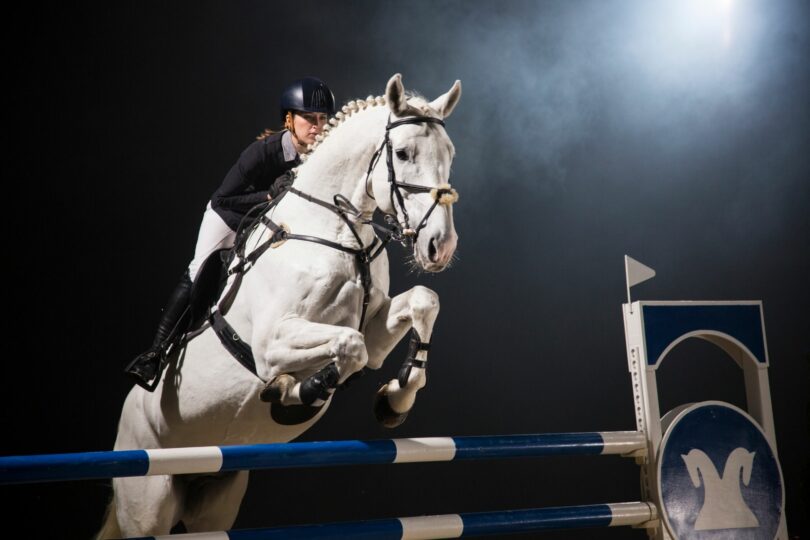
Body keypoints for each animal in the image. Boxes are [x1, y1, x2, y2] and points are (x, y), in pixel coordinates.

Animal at [98, 73, 462, 537]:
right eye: (402, 154)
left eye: (449, 155)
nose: (440, 246)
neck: (336, 230)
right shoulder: (271, 344)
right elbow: (349, 345)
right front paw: (298, 391)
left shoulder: (376, 329)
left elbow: (421, 303)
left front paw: (395, 399)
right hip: (148, 496)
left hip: (215, 496)